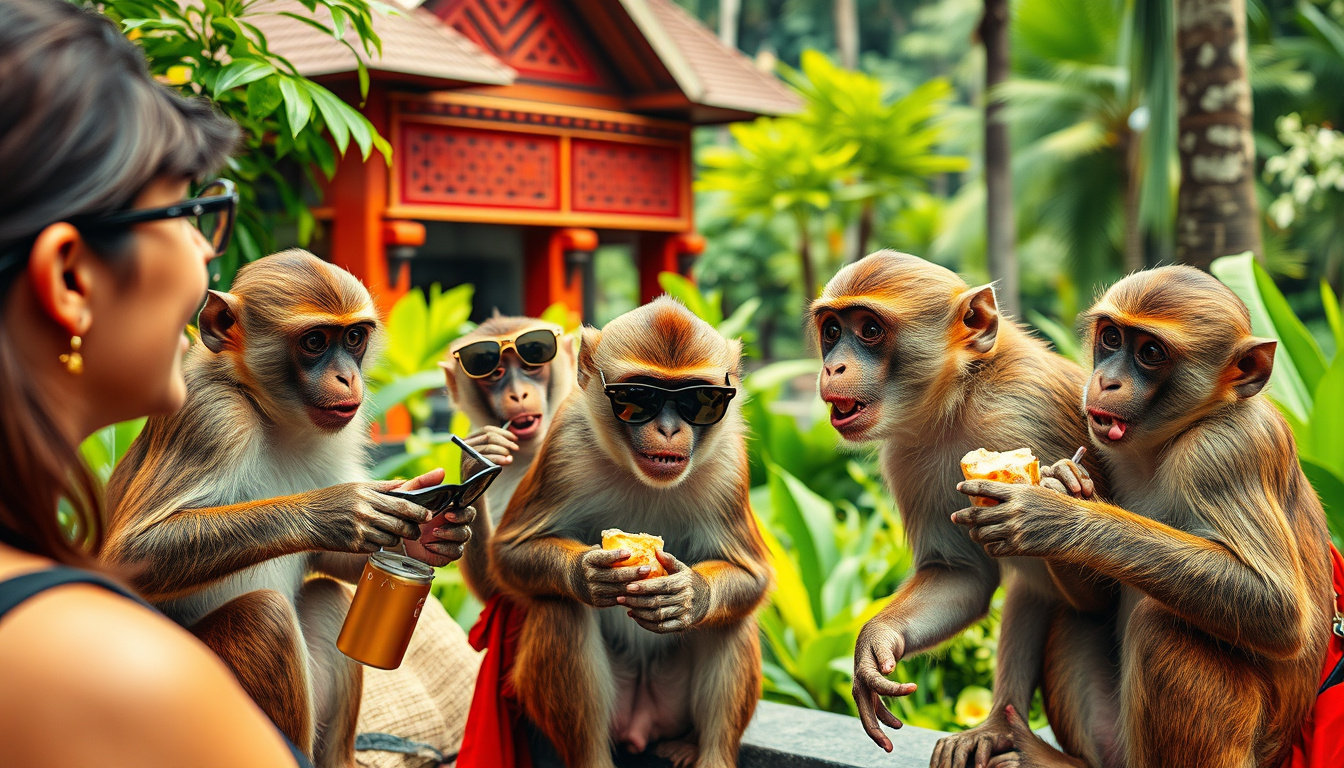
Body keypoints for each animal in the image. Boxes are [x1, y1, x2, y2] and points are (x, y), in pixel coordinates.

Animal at [102, 250, 475, 768]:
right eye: (315, 341)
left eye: (354, 337)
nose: (347, 377)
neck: (270, 414)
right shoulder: (211, 415)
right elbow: (129, 555)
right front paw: (341, 512)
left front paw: (431, 539)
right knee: (265, 617)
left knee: (328, 599)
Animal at [487, 297, 770, 768]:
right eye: (638, 395)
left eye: (700, 398)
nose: (669, 429)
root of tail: (642, 724)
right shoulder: (564, 442)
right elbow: (511, 551)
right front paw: (586, 575)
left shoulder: (731, 462)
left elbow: (752, 576)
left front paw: (691, 594)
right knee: (560, 610)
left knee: (731, 622)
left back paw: (701, 750)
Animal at [812, 250, 1115, 768]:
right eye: (831, 331)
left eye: (869, 329)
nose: (833, 367)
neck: (962, 398)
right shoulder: (905, 456)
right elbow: (961, 576)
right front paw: (876, 642)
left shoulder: (1027, 414)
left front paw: (1062, 496)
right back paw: (999, 729)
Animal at [952, 265, 1334, 768]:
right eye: (1112, 338)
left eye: (1150, 352)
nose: (1106, 381)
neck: (1171, 437)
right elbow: (1094, 602)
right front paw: (1067, 483)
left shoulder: (1229, 449)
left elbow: (1277, 607)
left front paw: (1050, 516)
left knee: (1161, 625)